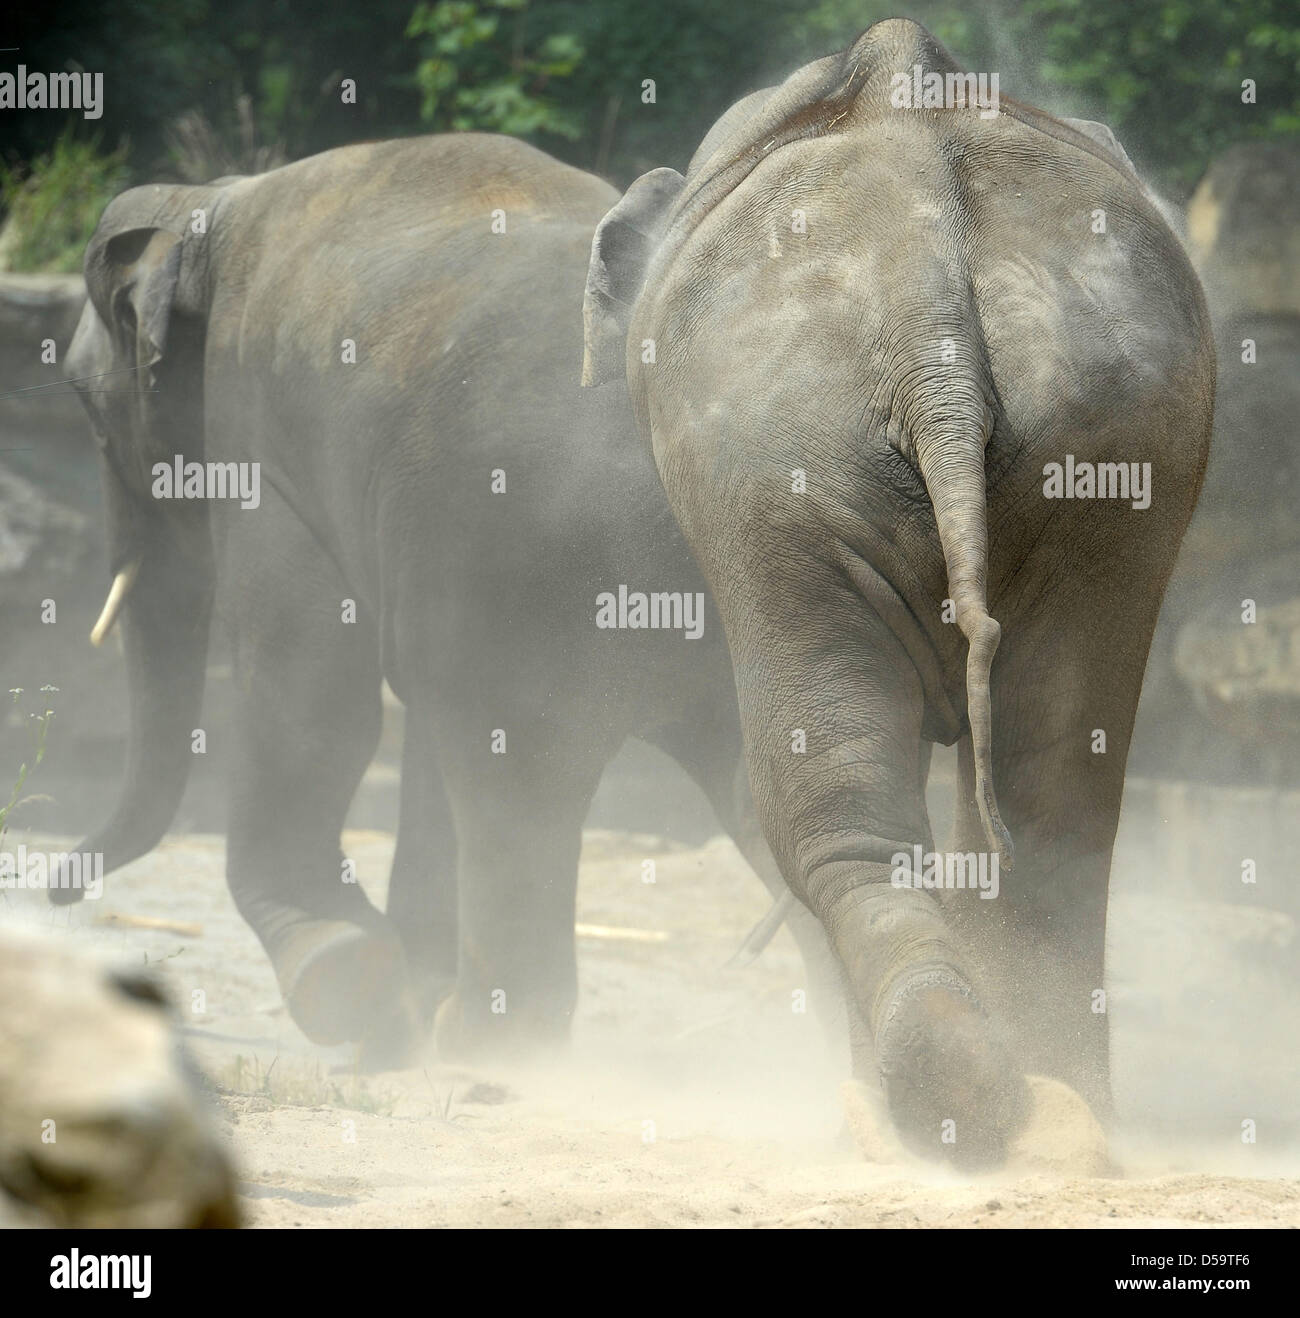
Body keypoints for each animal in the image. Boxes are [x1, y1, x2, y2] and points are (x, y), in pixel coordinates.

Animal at [60, 132, 842, 1065]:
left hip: (534, 560)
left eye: (84, 403)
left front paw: (349, 982)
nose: (50, 882)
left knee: (515, 772)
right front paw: (398, 1004)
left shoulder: (262, 441)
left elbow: (312, 698)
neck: (209, 204)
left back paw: (485, 1045)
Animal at [581, 19, 1215, 1165]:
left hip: (778, 471)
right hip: (1111, 447)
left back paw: (921, 1100)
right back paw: (1049, 1105)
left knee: (827, 799)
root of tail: (936, 339)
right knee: (1055, 792)